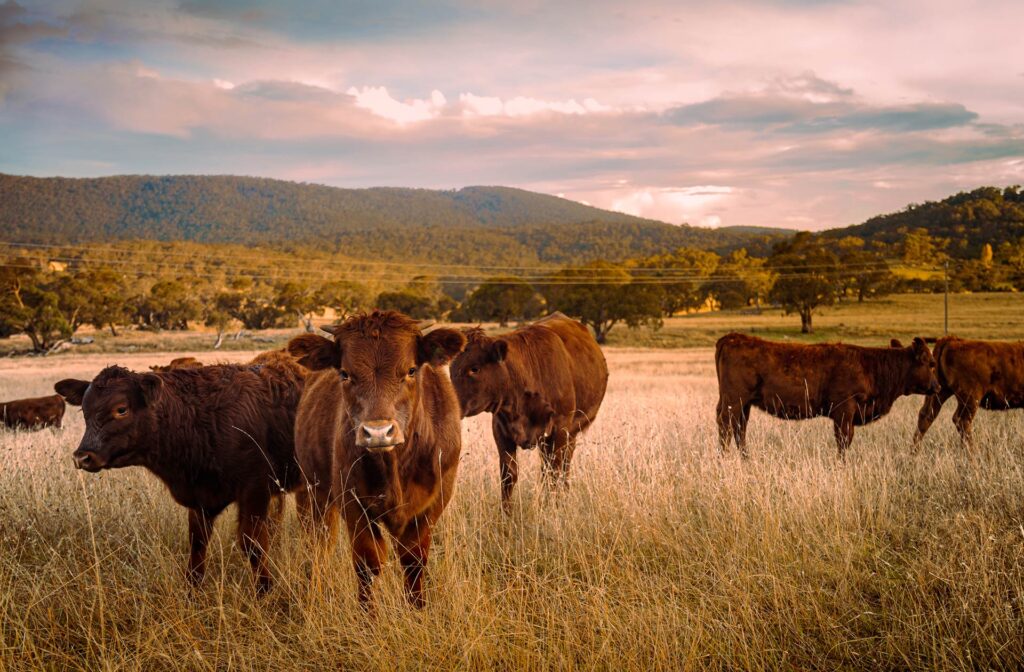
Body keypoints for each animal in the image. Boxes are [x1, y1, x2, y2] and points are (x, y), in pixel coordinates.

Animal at [53, 351, 306, 594]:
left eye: (121, 409)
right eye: (85, 412)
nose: (83, 457)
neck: (198, 417)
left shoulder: (254, 492)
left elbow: (252, 543)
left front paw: (265, 590)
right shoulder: (201, 500)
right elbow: (198, 543)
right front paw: (192, 589)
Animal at [287, 310, 466, 607]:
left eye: (411, 370)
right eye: (345, 373)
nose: (378, 432)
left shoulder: (433, 503)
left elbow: (414, 561)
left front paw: (417, 609)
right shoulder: (353, 503)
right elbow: (368, 564)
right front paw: (366, 614)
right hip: (315, 495)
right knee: (319, 545)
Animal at [449, 312, 608, 511]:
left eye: (474, 369)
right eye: (450, 369)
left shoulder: (560, 429)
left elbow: (555, 471)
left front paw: (554, 508)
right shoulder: (500, 429)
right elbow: (508, 475)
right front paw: (506, 513)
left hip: (571, 432)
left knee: (563, 465)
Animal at [715, 333, 940, 458]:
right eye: (931, 363)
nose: (937, 387)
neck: (871, 366)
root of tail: (732, 337)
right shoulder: (844, 411)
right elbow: (843, 441)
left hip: (743, 405)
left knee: (739, 431)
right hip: (734, 402)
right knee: (727, 429)